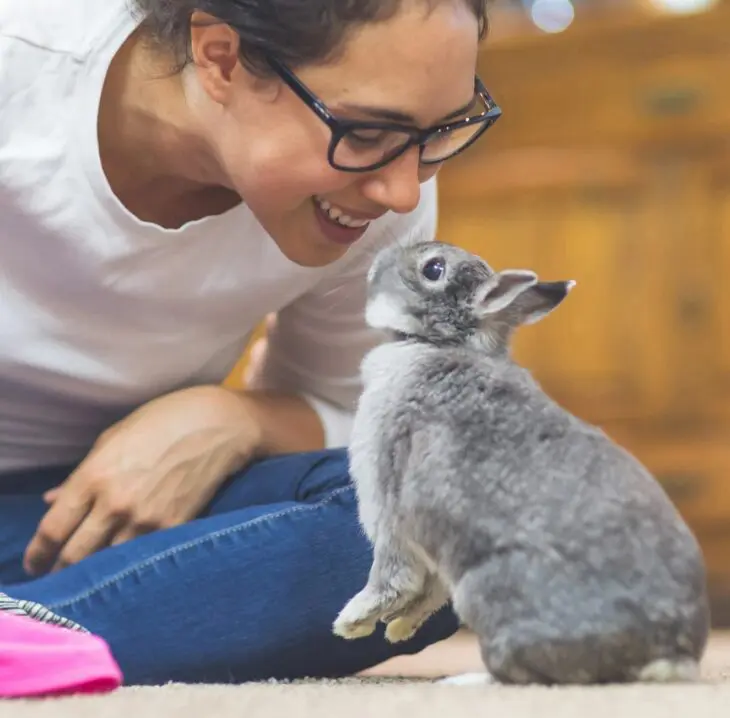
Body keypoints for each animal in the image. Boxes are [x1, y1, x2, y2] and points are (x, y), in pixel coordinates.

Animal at [332, 240, 708, 688]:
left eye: (434, 268)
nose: (380, 255)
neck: (438, 343)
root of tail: (667, 656)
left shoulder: (387, 502)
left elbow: (395, 578)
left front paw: (351, 622)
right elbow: (429, 591)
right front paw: (400, 628)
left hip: (484, 592)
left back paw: (465, 682)